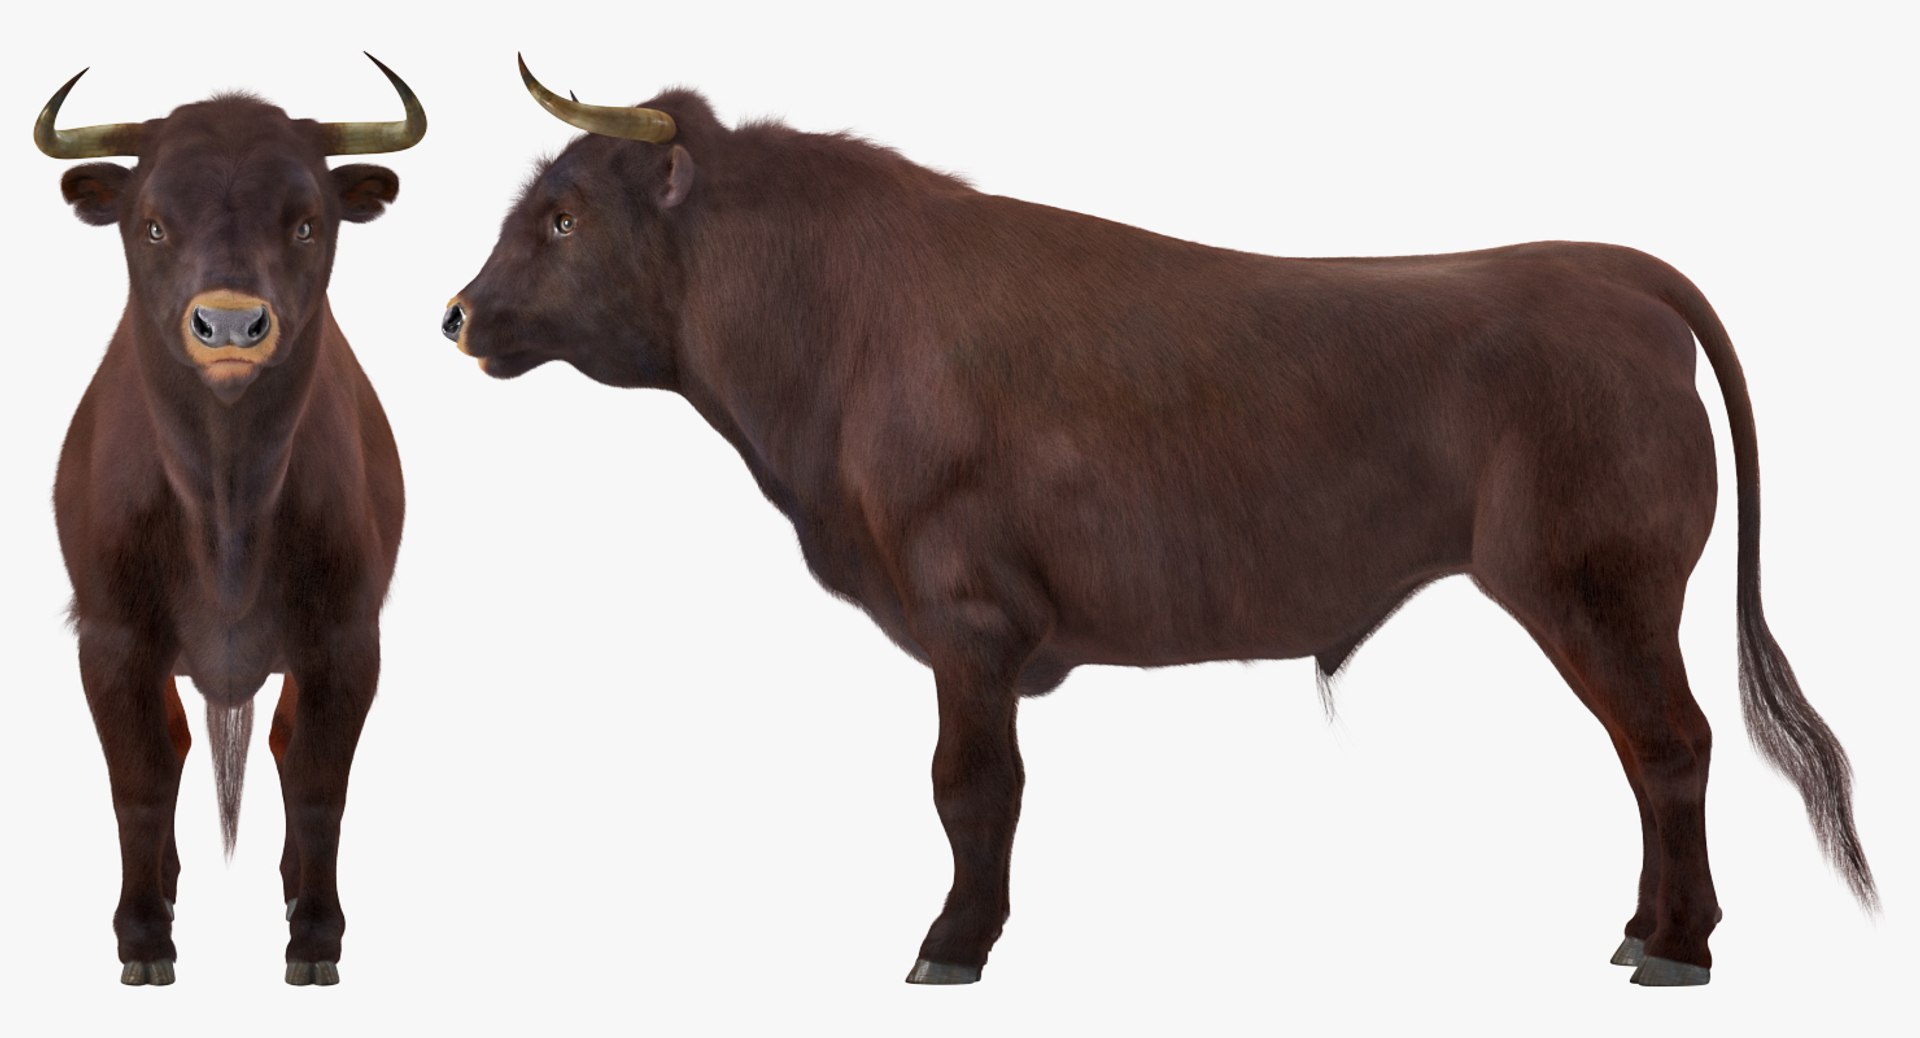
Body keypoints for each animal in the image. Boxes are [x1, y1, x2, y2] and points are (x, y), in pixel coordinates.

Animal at [40, 54, 423, 987]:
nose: (229, 325)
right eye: (150, 225)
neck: (227, 512)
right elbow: (140, 784)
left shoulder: (345, 640)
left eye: (308, 223)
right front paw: (143, 938)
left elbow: (319, 783)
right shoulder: (111, 640)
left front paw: (315, 938)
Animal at [441, 57, 1875, 987]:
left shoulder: (967, 621)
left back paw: (1677, 946)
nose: (455, 316)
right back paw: (1641, 927)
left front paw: (952, 944)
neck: (829, 328)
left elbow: (968, 787)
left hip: (1599, 592)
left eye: (561, 214)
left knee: (1672, 745)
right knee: (1649, 754)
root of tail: (1602, 268)